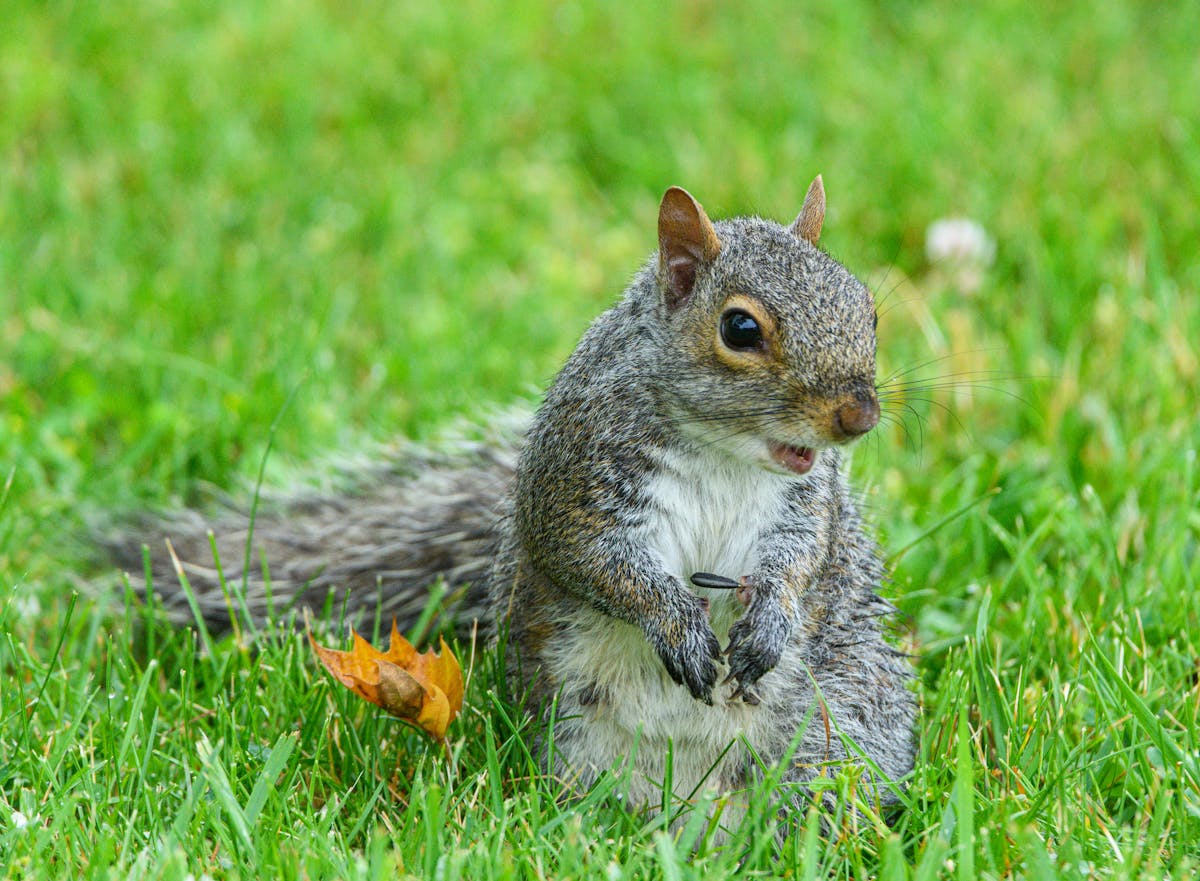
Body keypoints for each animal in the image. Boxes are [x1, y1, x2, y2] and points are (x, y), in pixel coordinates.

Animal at [108, 178, 916, 829]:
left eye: (867, 310)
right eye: (740, 329)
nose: (859, 415)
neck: (728, 451)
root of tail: (689, 814)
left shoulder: (803, 504)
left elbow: (800, 559)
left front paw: (771, 618)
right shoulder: (576, 473)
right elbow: (594, 558)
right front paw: (674, 621)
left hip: (837, 734)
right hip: (576, 739)